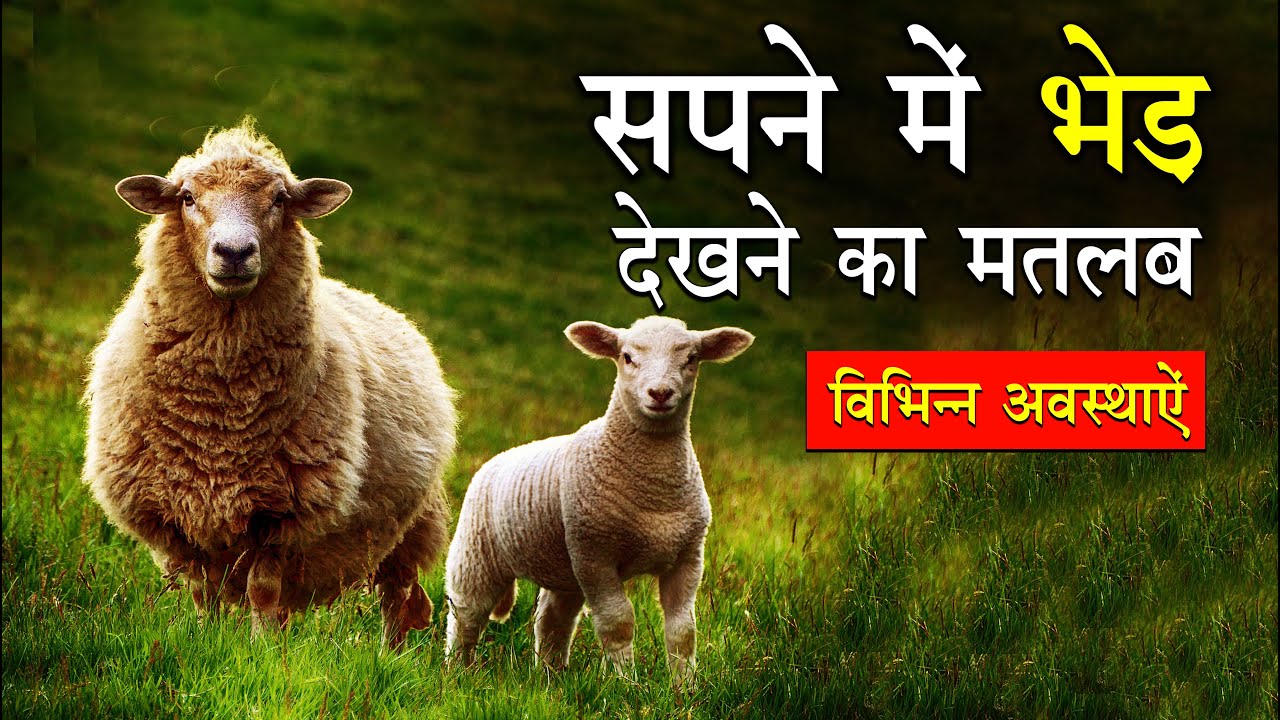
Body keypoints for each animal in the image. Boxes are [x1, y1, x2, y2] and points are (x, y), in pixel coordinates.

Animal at [82, 120, 456, 648]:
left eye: (279, 199)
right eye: (187, 198)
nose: (234, 253)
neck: (219, 413)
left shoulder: (281, 515)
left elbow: (262, 589)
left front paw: (260, 651)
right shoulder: (177, 512)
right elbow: (202, 592)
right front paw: (208, 639)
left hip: (410, 527)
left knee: (395, 597)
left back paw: (389, 654)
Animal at [444, 315, 753, 684]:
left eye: (691, 358)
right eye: (627, 357)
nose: (660, 393)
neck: (655, 492)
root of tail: (496, 459)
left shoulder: (688, 557)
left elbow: (683, 630)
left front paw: (685, 687)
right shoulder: (596, 555)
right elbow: (618, 621)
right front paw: (625, 683)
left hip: (564, 567)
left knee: (552, 620)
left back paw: (552, 675)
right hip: (476, 553)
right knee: (466, 613)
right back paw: (458, 671)